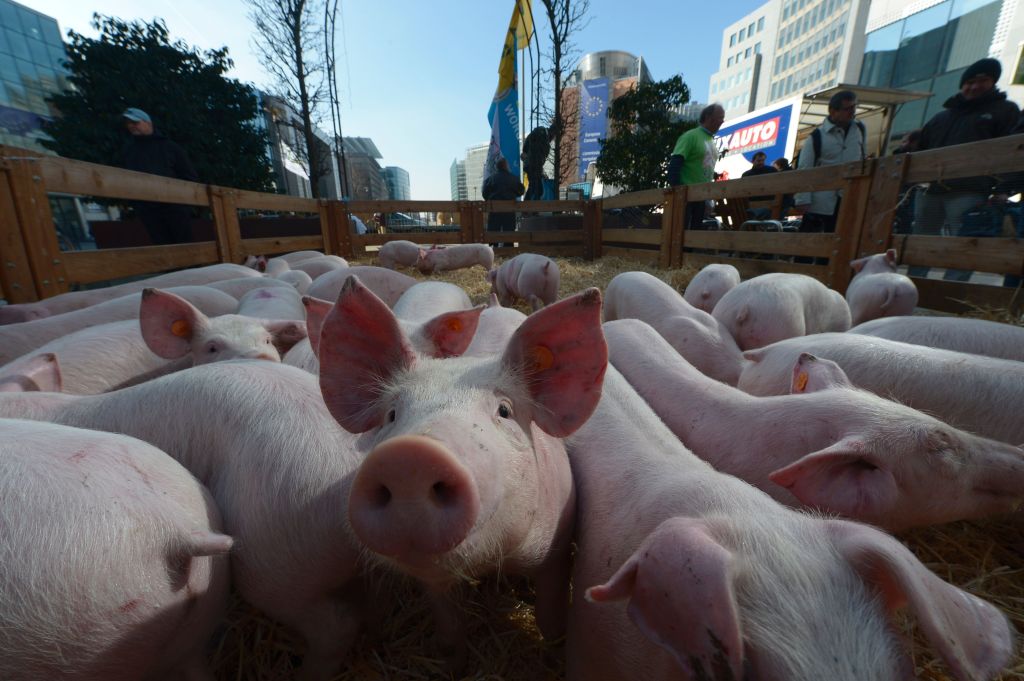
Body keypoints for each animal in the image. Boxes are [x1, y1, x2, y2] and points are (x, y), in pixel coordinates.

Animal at [329, 279, 606, 660]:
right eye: (392, 414)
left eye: (505, 411)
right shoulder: (432, 579)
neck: (489, 561)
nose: (409, 456)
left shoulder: (559, 543)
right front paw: (455, 658)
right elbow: (450, 625)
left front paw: (553, 650)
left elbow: (549, 614)